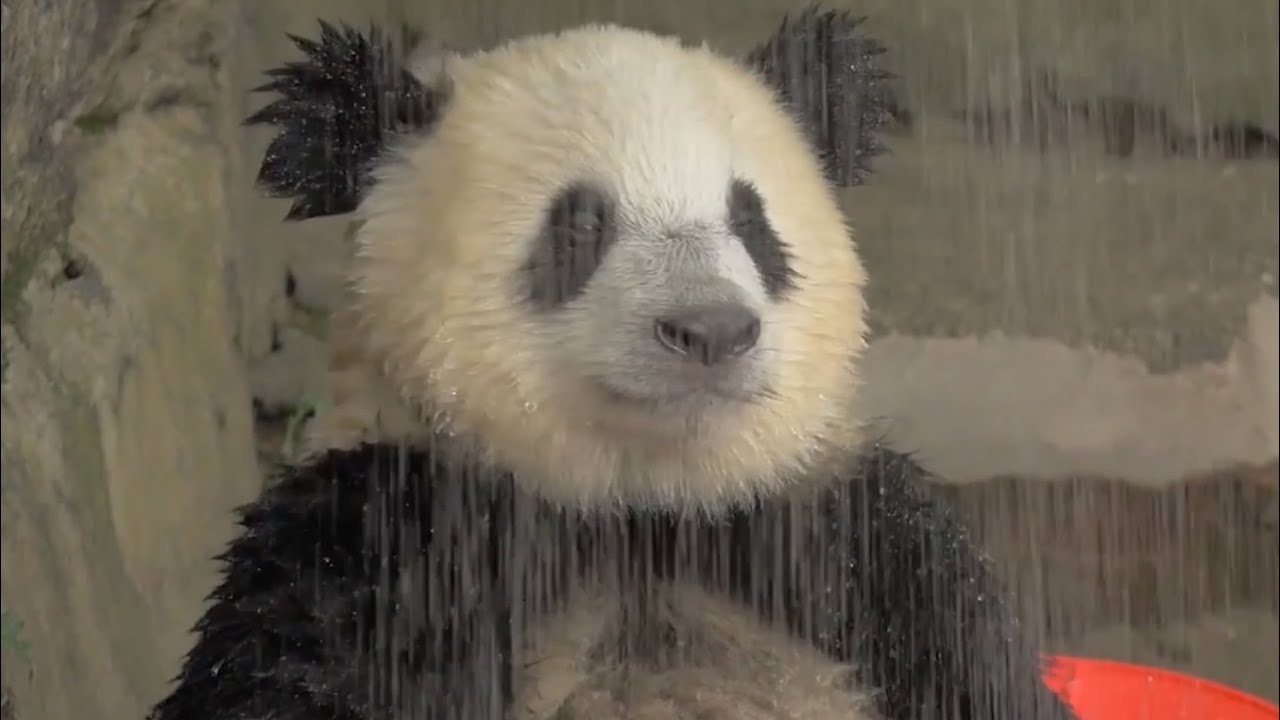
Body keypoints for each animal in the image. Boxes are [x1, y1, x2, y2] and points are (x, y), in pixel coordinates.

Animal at [150, 9, 1076, 720]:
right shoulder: (376, 533)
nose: (710, 330)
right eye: (580, 226)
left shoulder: (848, 537)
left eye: (752, 223)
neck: (639, 509)